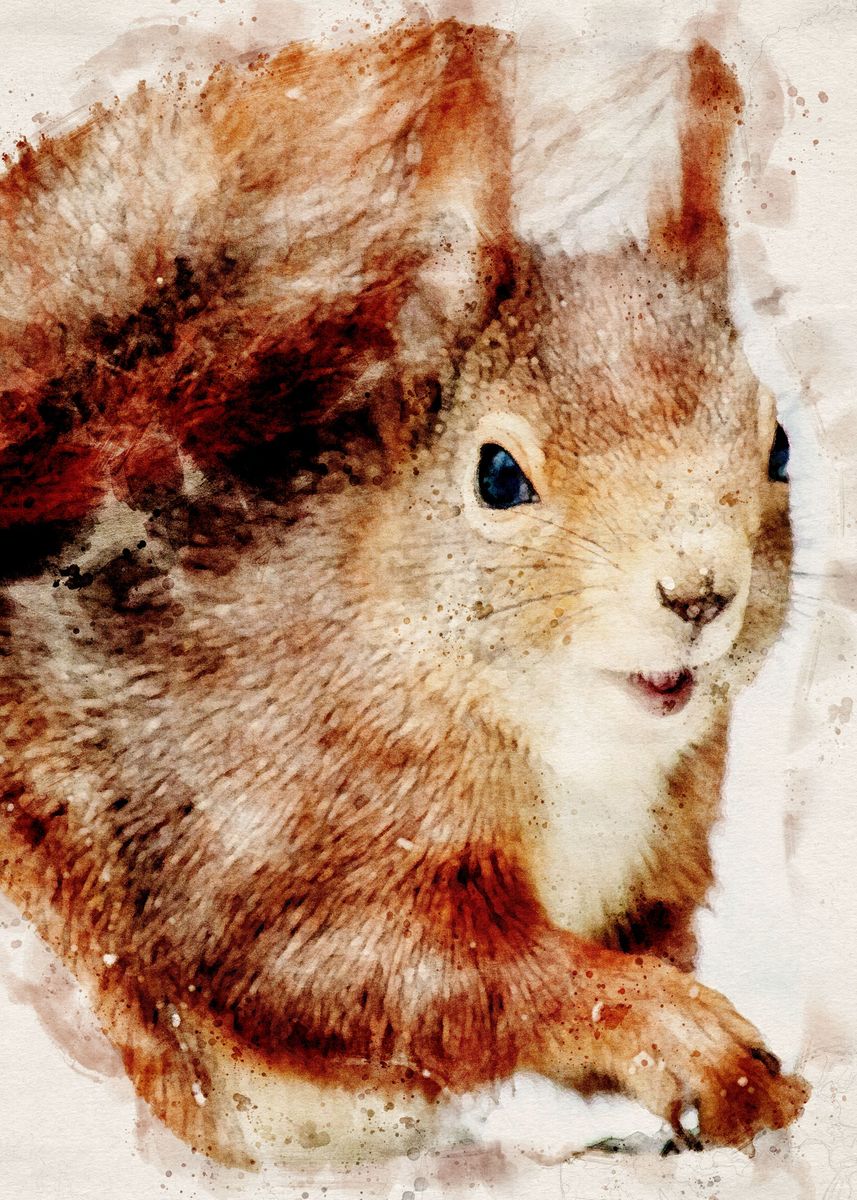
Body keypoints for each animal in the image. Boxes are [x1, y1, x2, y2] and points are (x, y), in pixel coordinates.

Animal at [0, 19, 806, 1166]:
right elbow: (383, 972)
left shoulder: (662, 862)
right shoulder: (262, 818)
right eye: (498, 475)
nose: (698, 593)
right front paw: (665, 1028)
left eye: (778, 446)